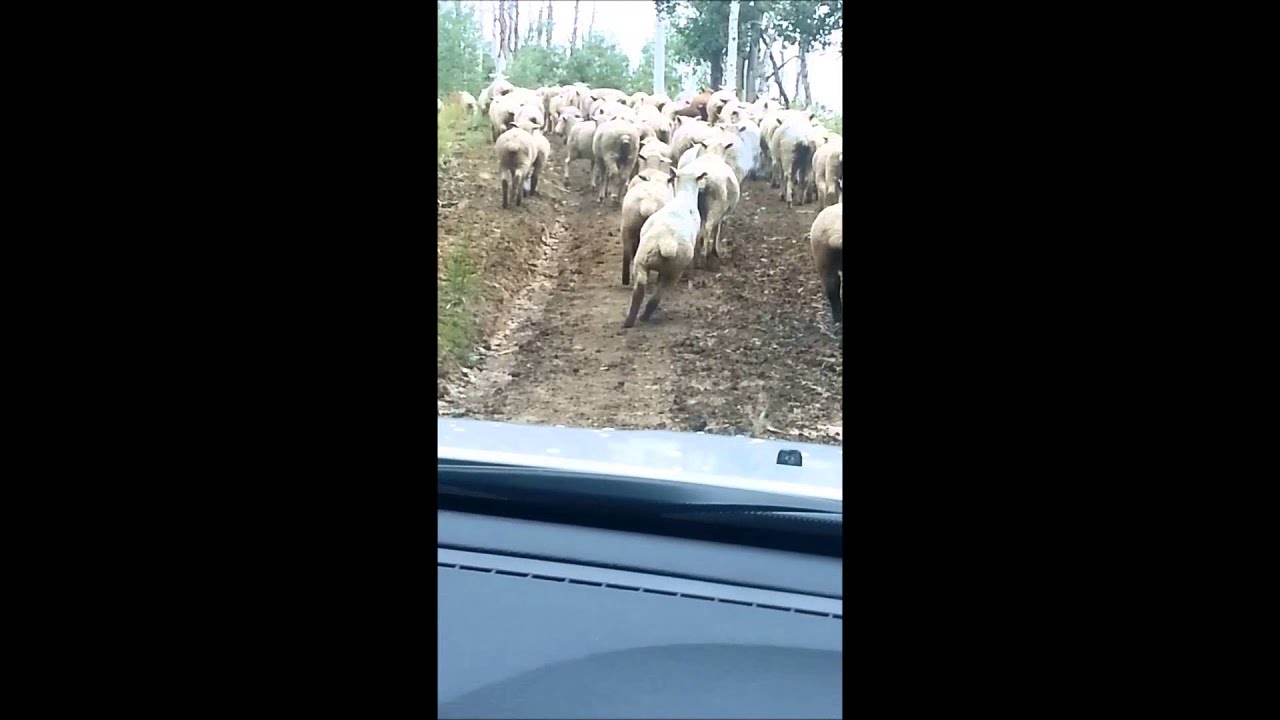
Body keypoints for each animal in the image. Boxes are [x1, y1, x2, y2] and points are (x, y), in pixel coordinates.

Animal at [623, 166, 702, 329]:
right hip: (670, 269)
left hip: (648, 262)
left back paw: (634, 319)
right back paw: (640, 318)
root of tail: (667, 243)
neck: (684, 198)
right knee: (653, 292)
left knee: (643, 289)